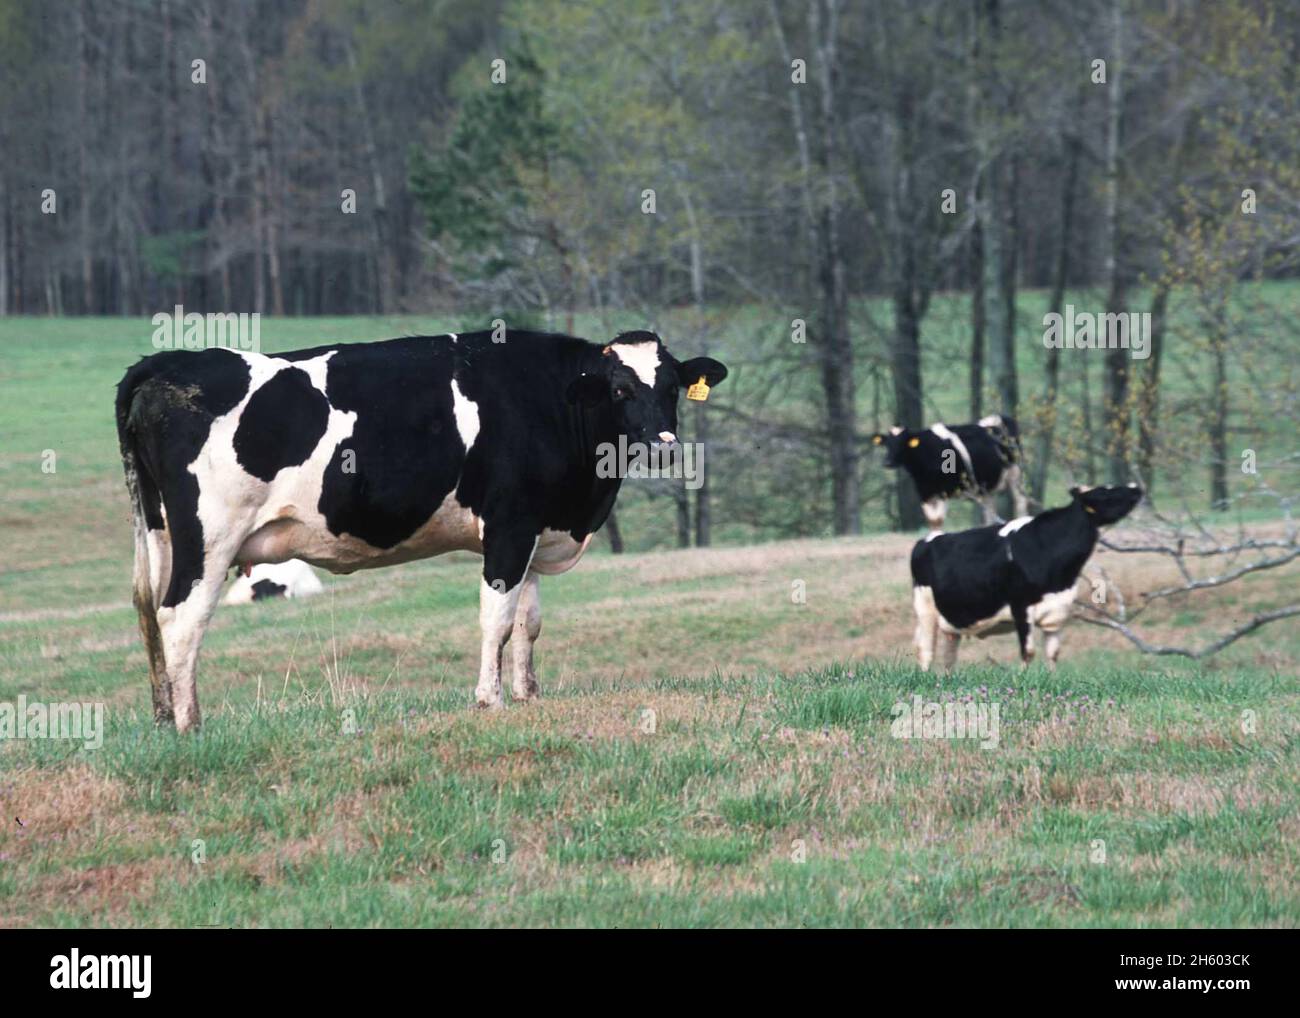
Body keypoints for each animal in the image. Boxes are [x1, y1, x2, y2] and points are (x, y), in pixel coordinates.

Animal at [116, 329, 727, 732]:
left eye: (671, 387)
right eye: (620, 390)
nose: (664, 446)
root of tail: (167, 365)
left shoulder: (531, 529)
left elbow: (528, 622)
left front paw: (528, 696)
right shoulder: (508, 526)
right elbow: (496, 619)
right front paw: (489, 700)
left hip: (161, 533)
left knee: (150, 613)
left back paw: (164, 716)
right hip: (209, 538)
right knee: (182, 619)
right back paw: (190, 724)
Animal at [872, 414, 1026, 529]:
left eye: (902, 443)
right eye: (887, 443)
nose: (887, 462)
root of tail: (998, 418)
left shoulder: (943, 492)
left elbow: (938, 520)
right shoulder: (924, 493)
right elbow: (932, 521)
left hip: (1016, 476)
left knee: (1020, 502)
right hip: (986, 487)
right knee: (990, 510)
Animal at [909, 484, 1142, 671]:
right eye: (1104, 493)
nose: (1135, 487)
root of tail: (927, 540)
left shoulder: (1057, 611)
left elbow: (1053, 654)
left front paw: (1051, 679)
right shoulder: (1021, 607)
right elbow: (1028, 652)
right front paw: (1023, 679)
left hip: (951, 619)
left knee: (949, 655)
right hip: (925, 609)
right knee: (925, 650)